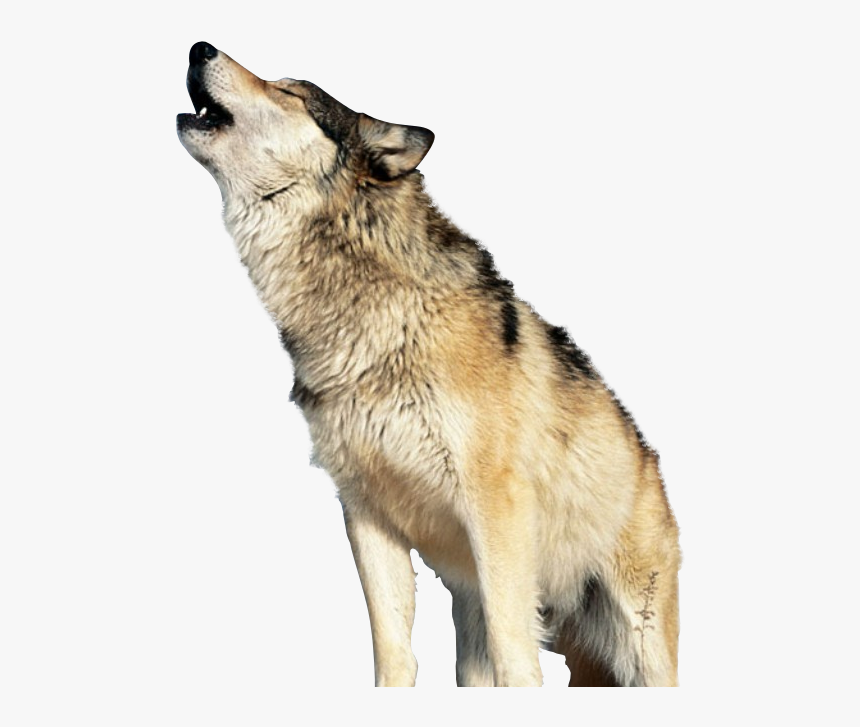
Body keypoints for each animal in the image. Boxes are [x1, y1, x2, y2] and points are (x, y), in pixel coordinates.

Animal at [177, 41, 680, 687]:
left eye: (288, 91)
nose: (199, 47)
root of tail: (652, 466)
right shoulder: (366, 514)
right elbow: (393, 651)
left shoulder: (495, 507)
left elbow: (518, 656)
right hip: (476, 632)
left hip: (640, 641)